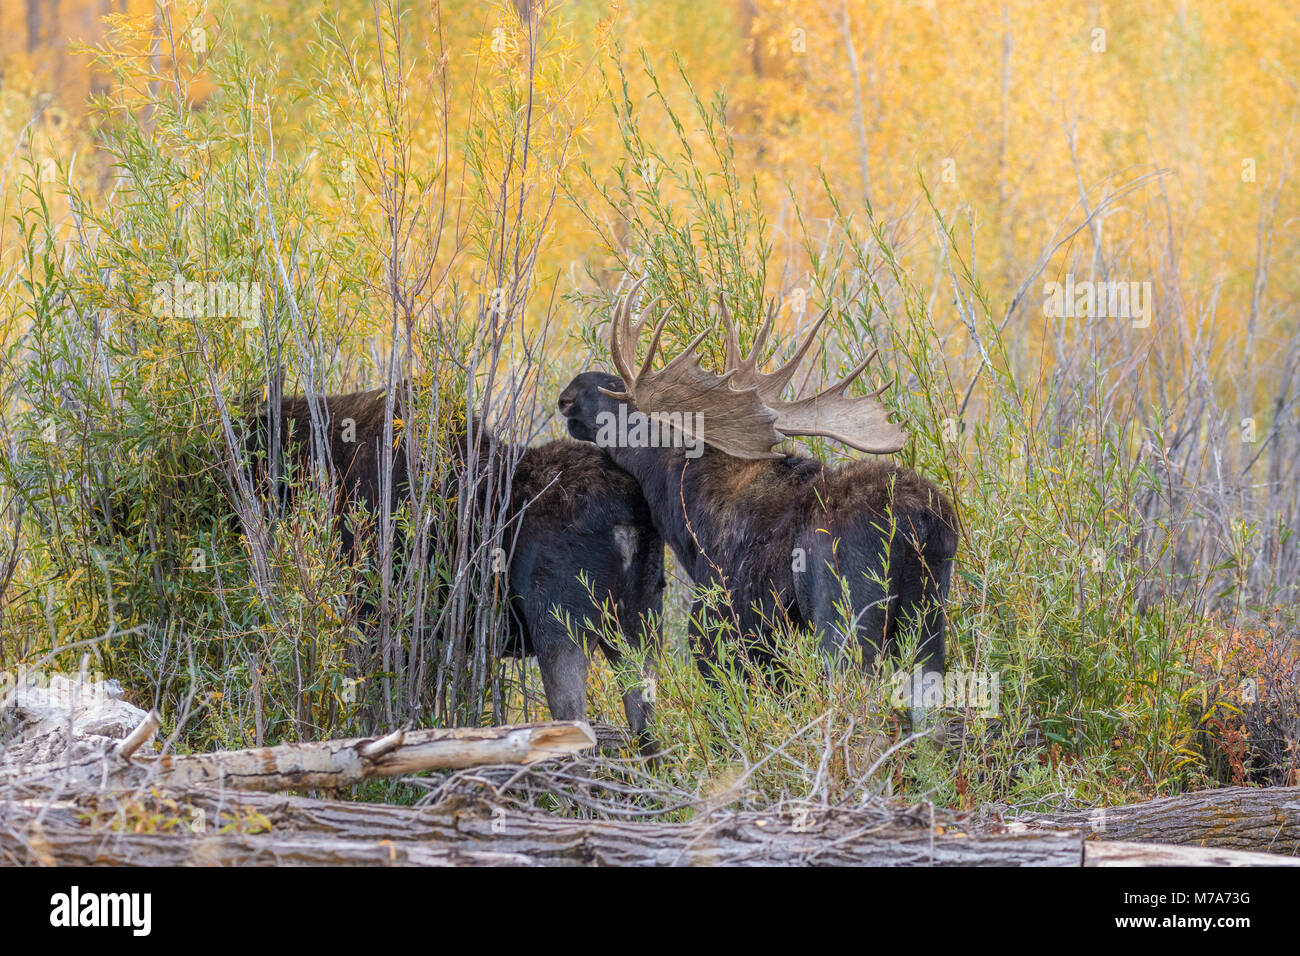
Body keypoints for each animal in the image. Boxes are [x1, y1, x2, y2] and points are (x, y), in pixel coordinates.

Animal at [242, 384, 665, 752]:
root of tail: (628, 520)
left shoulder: (372, 613)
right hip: (637, 623)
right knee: (648, 723)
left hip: (562, 625)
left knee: (576, 723)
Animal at [557, 279, 957, 699]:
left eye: (620, 399)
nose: (570, 393)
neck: (688, 522)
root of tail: (920, 524)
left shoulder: (721, 641)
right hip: (928, 622)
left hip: (846, 626)